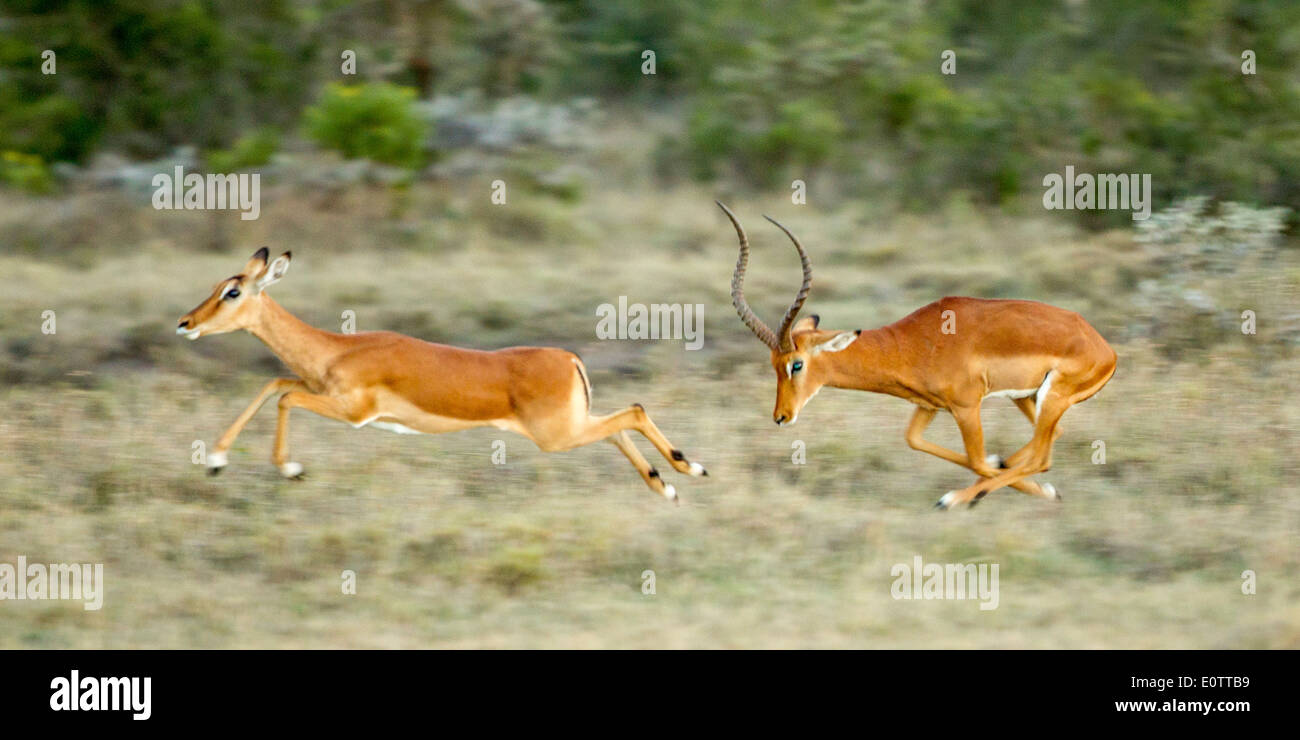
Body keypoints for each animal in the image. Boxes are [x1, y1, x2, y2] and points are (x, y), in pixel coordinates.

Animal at [176, 248, 706, 501]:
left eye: (232, 291)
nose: (185, 323)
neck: (338, 349)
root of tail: (568, 358)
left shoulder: (353, 412)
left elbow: (284, 396)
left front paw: (291, 469)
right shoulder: (317, 389)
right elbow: (275, 384)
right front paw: (216, 461)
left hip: (557, 435)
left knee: (633, 411)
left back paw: (689, 470)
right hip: (573, 425)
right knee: (619, 426)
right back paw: (667, 486)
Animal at [717, 202, 1116, 509]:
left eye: (796, 364)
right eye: (773, 366)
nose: (781, 417)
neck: (910, 343)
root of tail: (1105, 349)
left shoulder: (966, 407)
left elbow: (976, 460)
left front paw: (953, 497)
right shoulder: (928, 406)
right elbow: (916, 441)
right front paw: (998, 468)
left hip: (1050, 398)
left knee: (1043, 456)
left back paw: (975, 496)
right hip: (1027, 398)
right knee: (1048, 442)